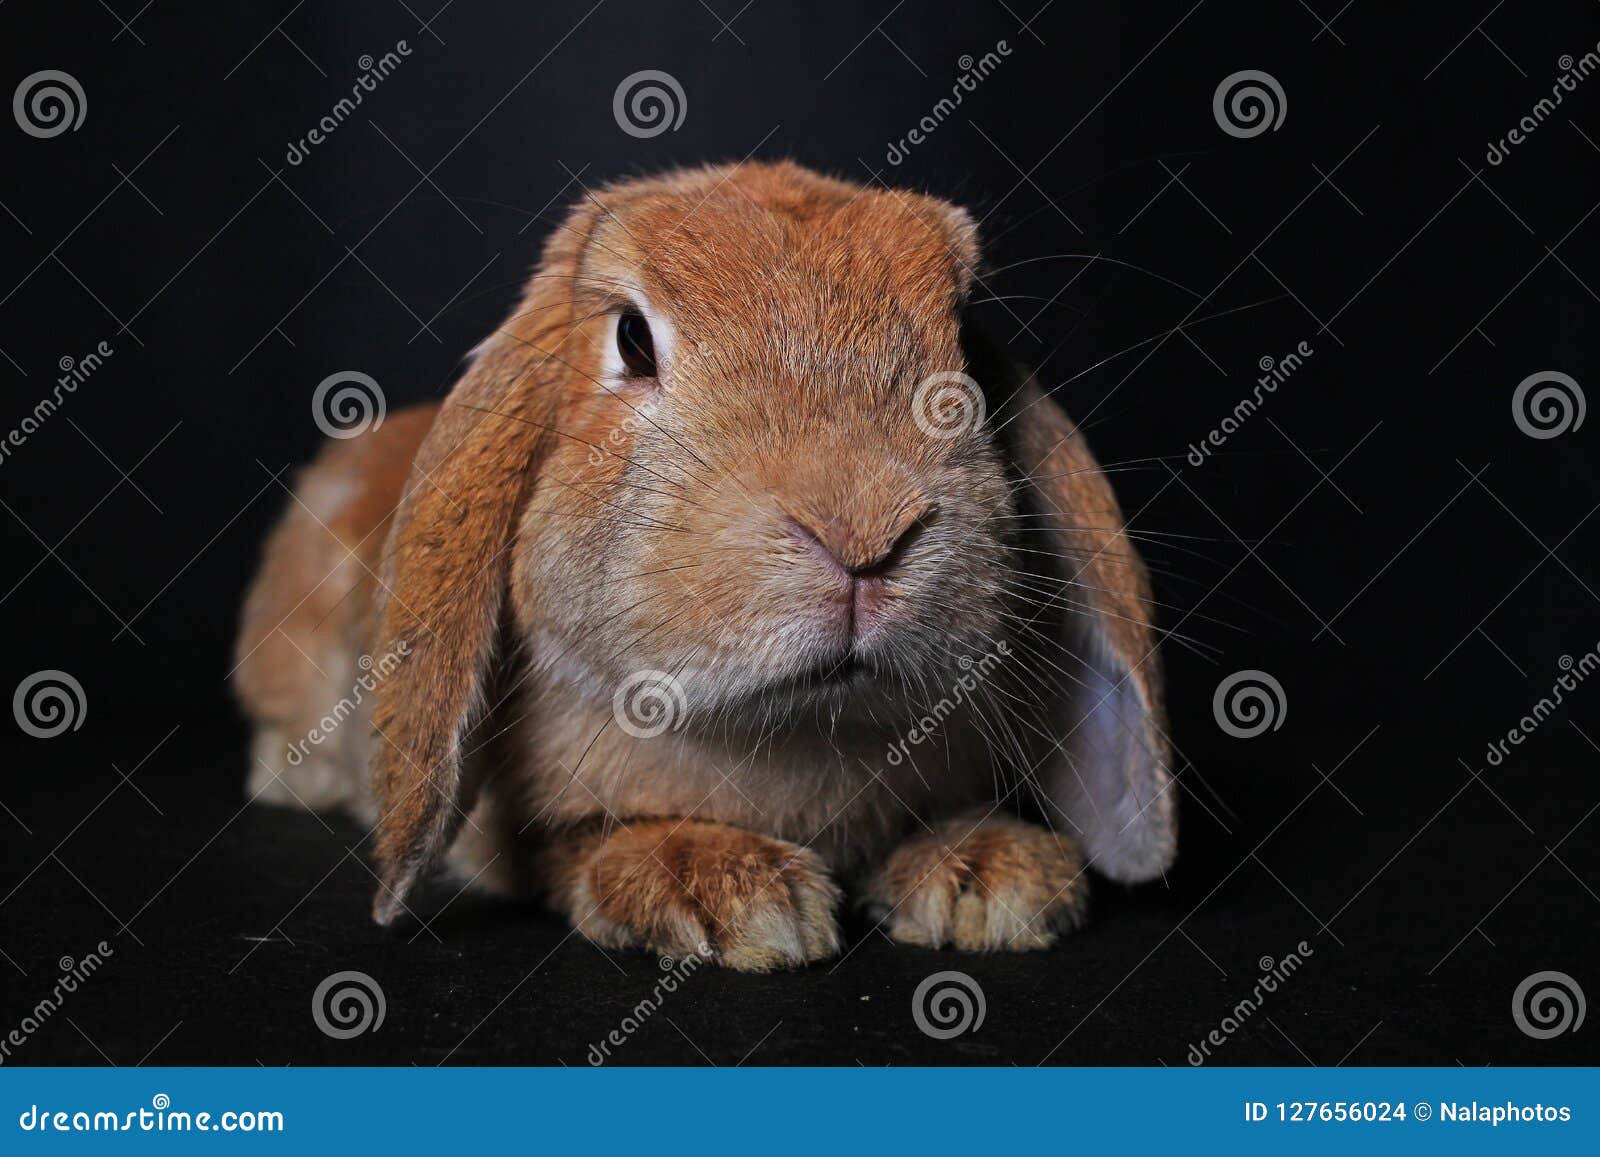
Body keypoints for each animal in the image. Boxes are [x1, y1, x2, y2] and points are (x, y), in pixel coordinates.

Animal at [233, 160, 1175, 972]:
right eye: (631, 340)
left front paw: (991, 871)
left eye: (969, 354)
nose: (863, 525)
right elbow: (574, 843)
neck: (795, 731)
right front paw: (722, 890)